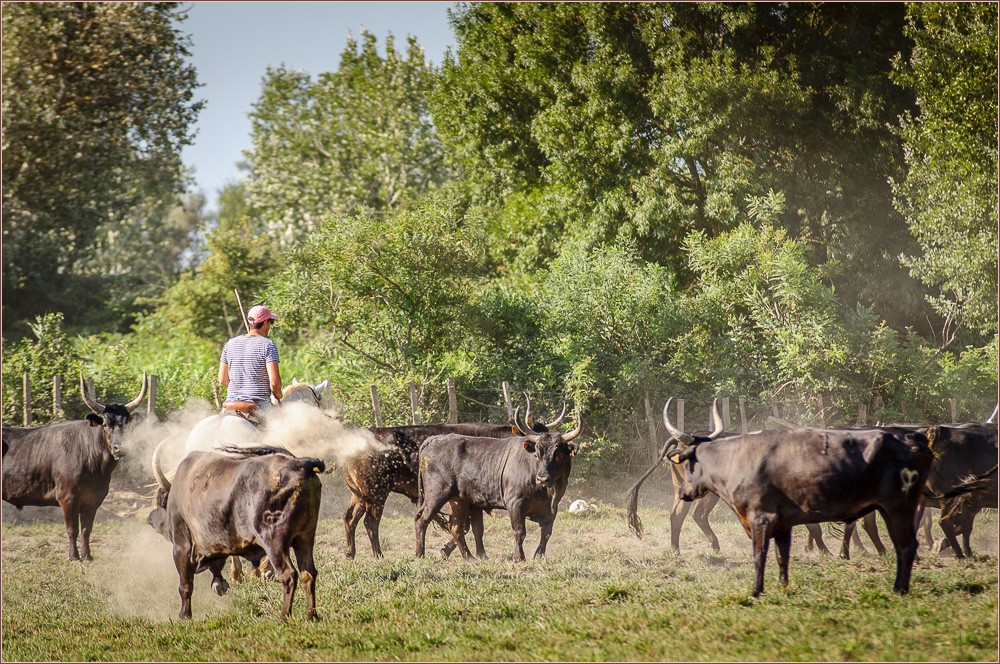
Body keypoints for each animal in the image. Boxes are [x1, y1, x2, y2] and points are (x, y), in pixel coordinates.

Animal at [0, 374, 148, 560]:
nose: (120, 448)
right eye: (105, 424)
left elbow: (86, 530)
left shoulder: (93, 500)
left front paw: (87, 556)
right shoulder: (67, 498)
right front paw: (73, 556)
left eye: (127, 424)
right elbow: (73, 530)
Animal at [148, 444, 324, 620]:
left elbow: (185, 585)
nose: (151, 520)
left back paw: (284, 616)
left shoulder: (182, 547)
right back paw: (311, 615)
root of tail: (302, 464)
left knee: (289, 574)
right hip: (305, 539)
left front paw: (184, 615)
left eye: (160, 501)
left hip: (275, 543)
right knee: (308, 573)